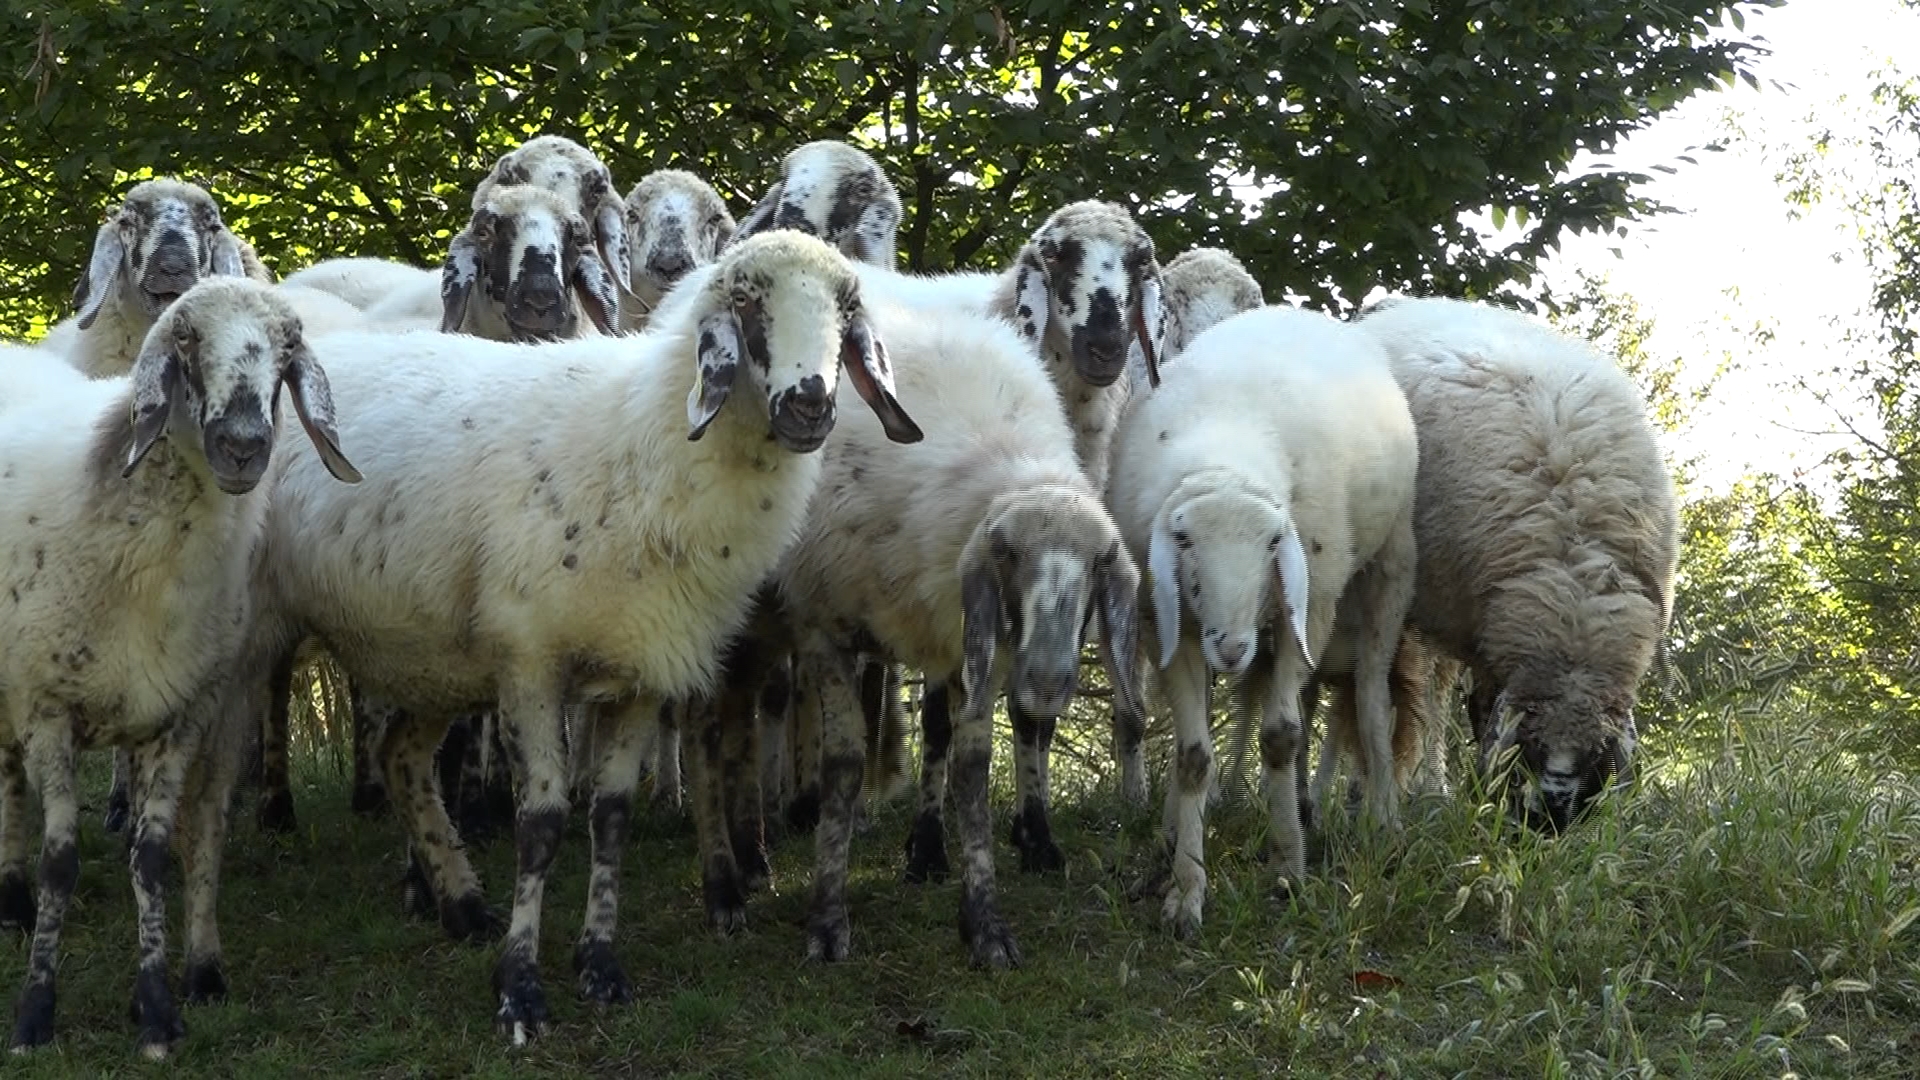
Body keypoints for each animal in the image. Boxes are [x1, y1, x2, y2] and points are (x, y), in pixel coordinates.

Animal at [0, 277, 360, 1057]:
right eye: (187, 339)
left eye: (287, 347)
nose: (244, 446)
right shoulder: (47, 707)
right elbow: (60, 861)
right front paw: (35, 1013)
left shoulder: (178, 716)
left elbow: (154, 855)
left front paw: (158, 1012)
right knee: (8, 786)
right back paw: (10, 901)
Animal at [243, 231, 920, 1042]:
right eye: (749, 305)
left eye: (846, 312)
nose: (811, 402)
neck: (648, 442)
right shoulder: (530, 663)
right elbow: (541, 824)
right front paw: (520, 990)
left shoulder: (640, 668)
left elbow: (611, 817)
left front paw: (599, 966)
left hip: (431, 655)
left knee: (401, 756)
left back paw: (460, 902)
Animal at [778, 296, 1142, 968]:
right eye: (1009, 556)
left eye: (1098, 567)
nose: (1047, 682)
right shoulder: (824, 629)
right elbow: (843, 763)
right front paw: (827, 918)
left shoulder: (983, 650)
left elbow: (972, 772)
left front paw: (984, 922)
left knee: (938, 731)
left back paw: (926, 847)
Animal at [1106, 304, 1418, 936]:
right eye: (1182, 539)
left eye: (1274, 540)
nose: (1232, 649)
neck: (1226, 456)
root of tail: (1293, 309)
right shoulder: (1166, 623)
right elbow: (1193, 756)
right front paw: (1186, 887)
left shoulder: (1313, 607)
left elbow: (1281, 738)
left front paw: (1288, 867)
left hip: (1390, 562)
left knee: (1372, 698)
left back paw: (1383, 818)